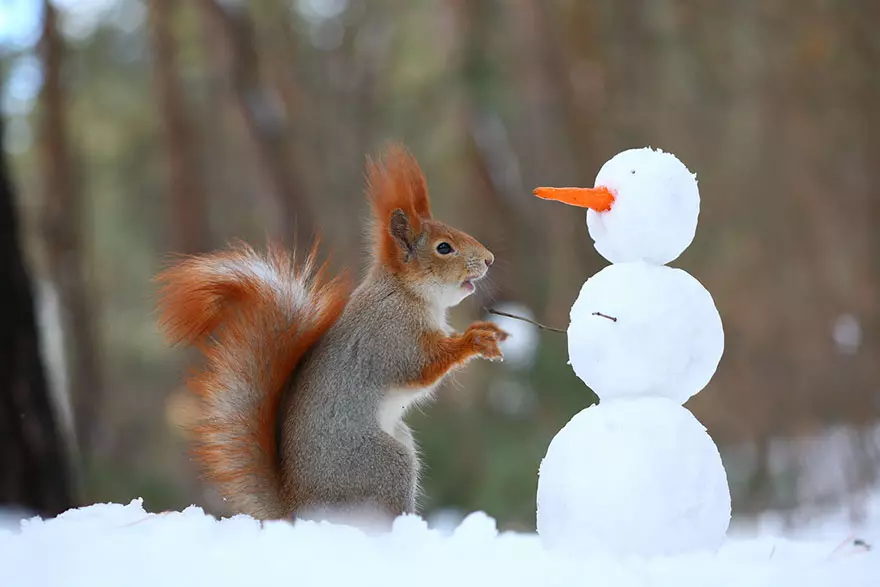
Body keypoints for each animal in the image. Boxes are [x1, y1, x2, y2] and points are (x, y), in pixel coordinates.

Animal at [155, 144, 506, 528]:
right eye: (444, 248)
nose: (489, 259)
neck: (405, 293)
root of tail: (300, 510)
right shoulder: (392, 337)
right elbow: (423, 367)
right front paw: (475, 341)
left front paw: (486, 331)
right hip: (383, 465)